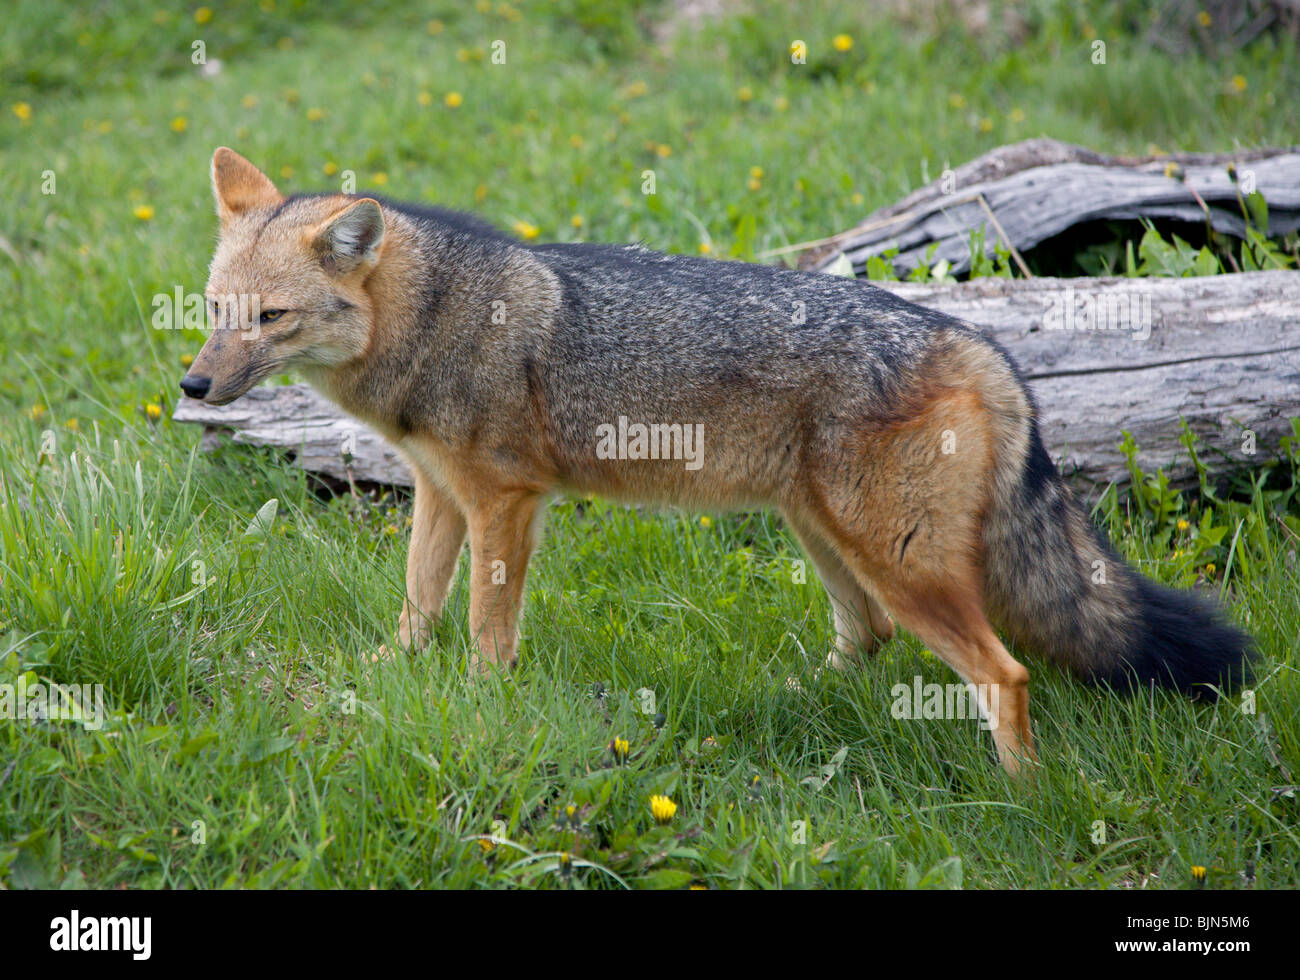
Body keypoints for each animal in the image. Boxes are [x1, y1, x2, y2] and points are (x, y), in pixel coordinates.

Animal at [183, 147, 1255, 776]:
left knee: (1006, 675)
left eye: (269, 317)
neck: (437, 318)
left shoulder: (505, 500)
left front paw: (484, 702)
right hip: (826, 538)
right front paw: (392, 673)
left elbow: (488, 625)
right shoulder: (441, 496)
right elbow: (417, 604)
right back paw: (787, 702)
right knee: (867, 640)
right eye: (212, 309)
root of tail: (975, 342)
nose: (191, 385)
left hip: (898, 562)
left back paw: (1023, 796)